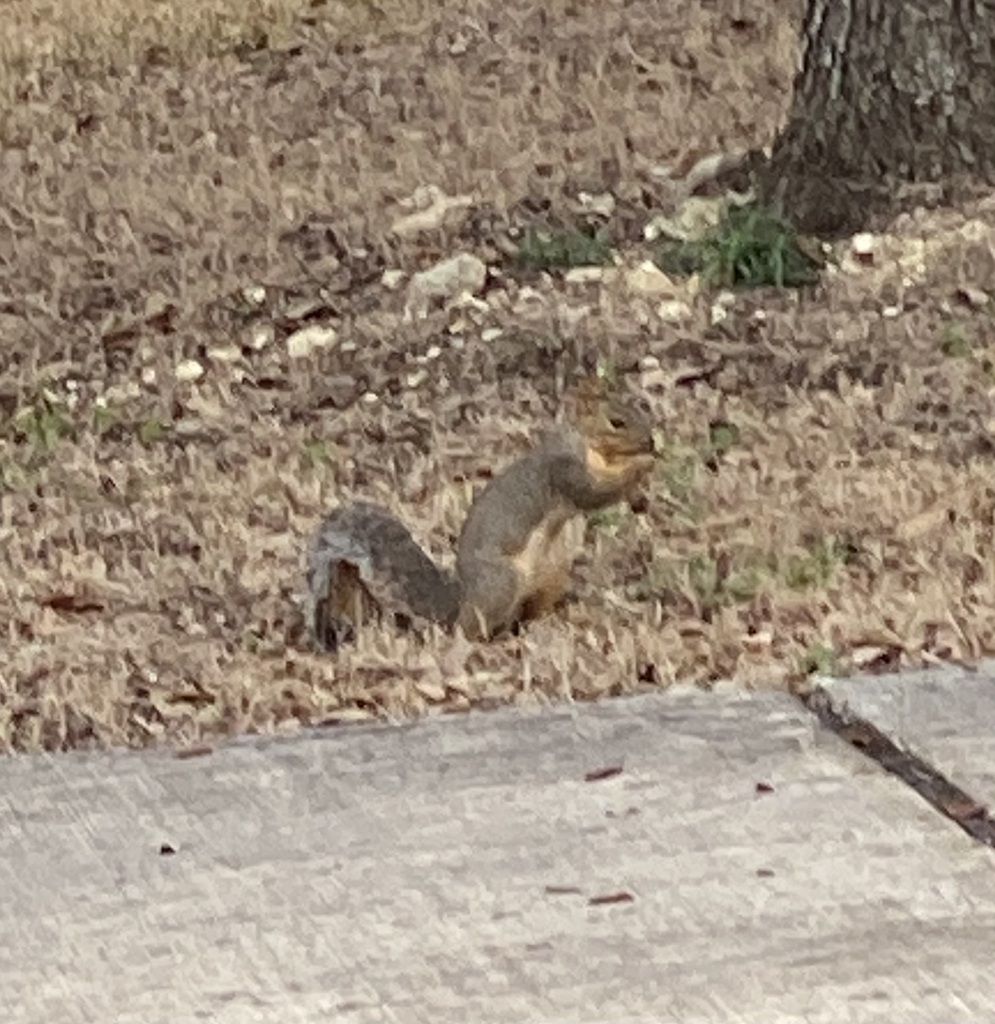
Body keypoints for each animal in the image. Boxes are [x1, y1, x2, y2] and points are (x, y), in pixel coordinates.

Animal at [304, 379, 657, 650]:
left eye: (640, 409)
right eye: (616, 422)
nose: (650, 441)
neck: (589, 447)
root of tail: (460, 603)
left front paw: (640, 495)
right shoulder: (564, 471)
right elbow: (594, 493)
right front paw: (642, 466)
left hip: (552, 574)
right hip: (501, 582)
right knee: (471, 629)